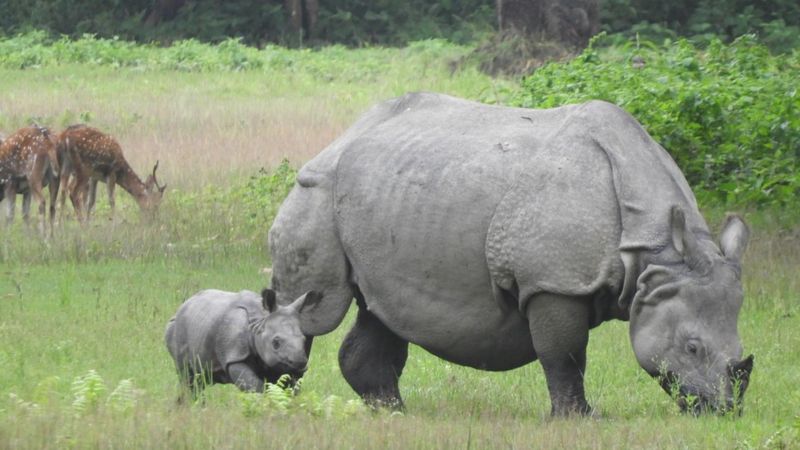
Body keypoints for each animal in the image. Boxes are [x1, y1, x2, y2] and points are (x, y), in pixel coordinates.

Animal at [165, 288, 320, 395]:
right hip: (176, 328)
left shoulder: (278, 364)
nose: (300, 362)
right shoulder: (234, 356)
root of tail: (181, 307)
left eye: (304, 340)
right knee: (188, 378)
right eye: (276, 343)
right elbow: (256, 387)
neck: (259, 323)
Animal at [268, 92, 753, 415]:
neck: (655, 255)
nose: (722, 411)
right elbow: (565, 354)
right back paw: (282, 401)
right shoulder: (552, 281)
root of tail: (345, 133)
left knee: (381, 309)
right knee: (314, 308)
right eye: (691, 348)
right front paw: (579, 420)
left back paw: (391, 412)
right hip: (317, 188)